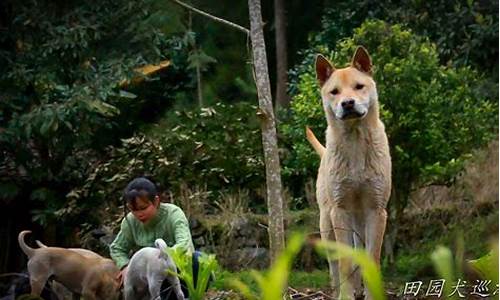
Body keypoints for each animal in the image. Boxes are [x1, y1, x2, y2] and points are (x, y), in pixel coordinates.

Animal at [306, 46, 392, 298]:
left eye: (359, 86)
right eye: (334, 92)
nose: (347, 103)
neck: (355, 142)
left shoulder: (376, 210)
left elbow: (371, 260)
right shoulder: (340, 210)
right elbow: (344, 262)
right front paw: (345, 295)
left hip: (359, 222)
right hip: (326, 222)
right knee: (335, 264)